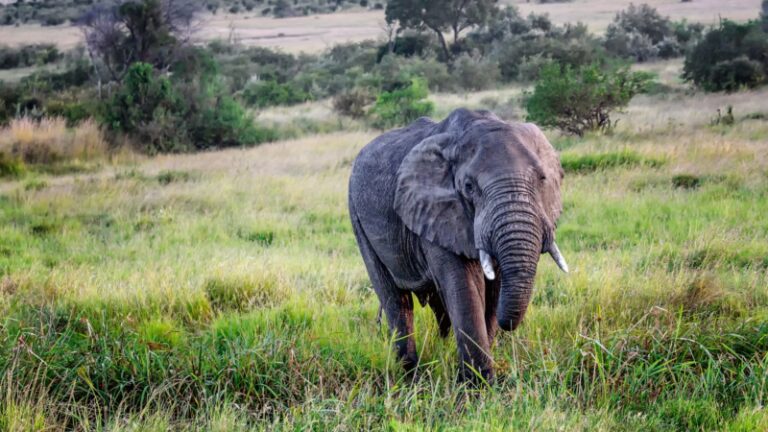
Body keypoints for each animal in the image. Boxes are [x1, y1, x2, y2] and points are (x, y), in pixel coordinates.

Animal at [348, 108, 568, 381]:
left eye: (542, 179)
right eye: (469, 187)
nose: (508, 326)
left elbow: (494, 287)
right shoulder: (437, 211)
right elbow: (464, 284)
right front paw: (478, 384)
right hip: (356, 215)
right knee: (395, 299)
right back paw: (411, 377)